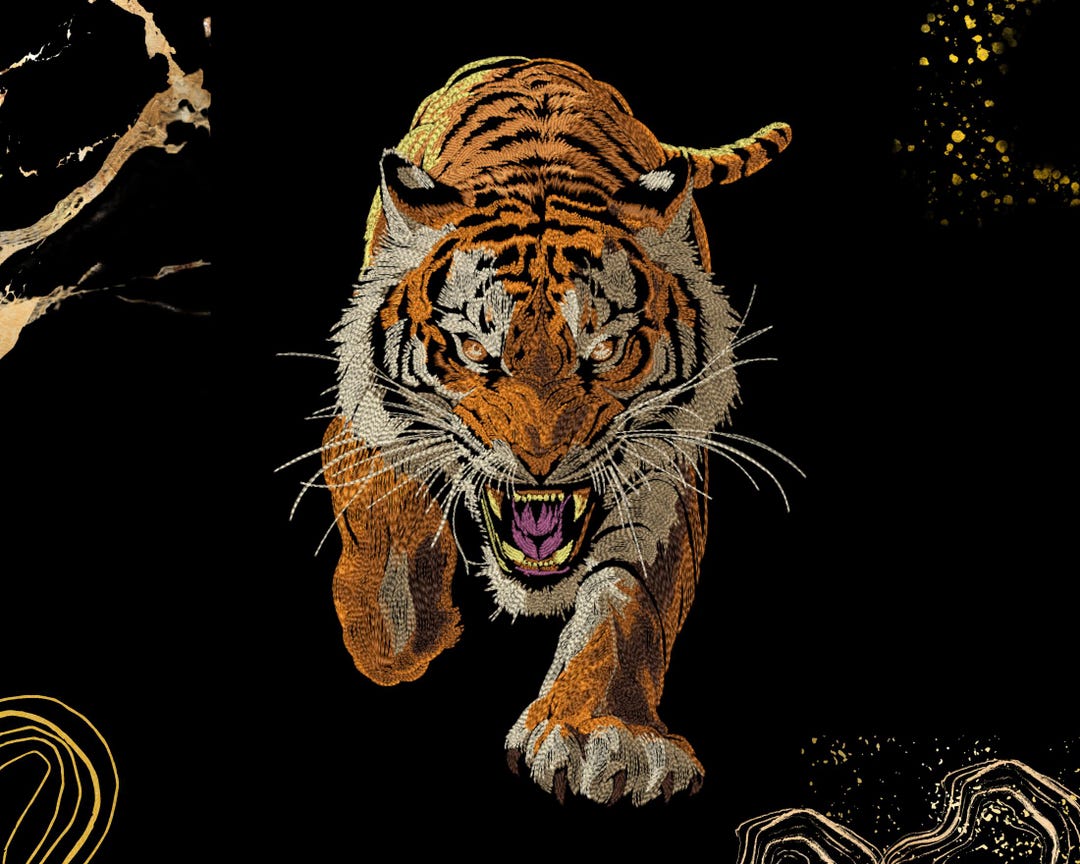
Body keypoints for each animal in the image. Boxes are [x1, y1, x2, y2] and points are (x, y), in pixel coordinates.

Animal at [314, 56, 791, 805]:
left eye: (605, 349)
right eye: (474, 349)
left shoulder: (669, 475)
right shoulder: (361, 423)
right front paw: (398, 630)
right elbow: (382, 499)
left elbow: (623, 602)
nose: (540, 461)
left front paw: (605, 735)